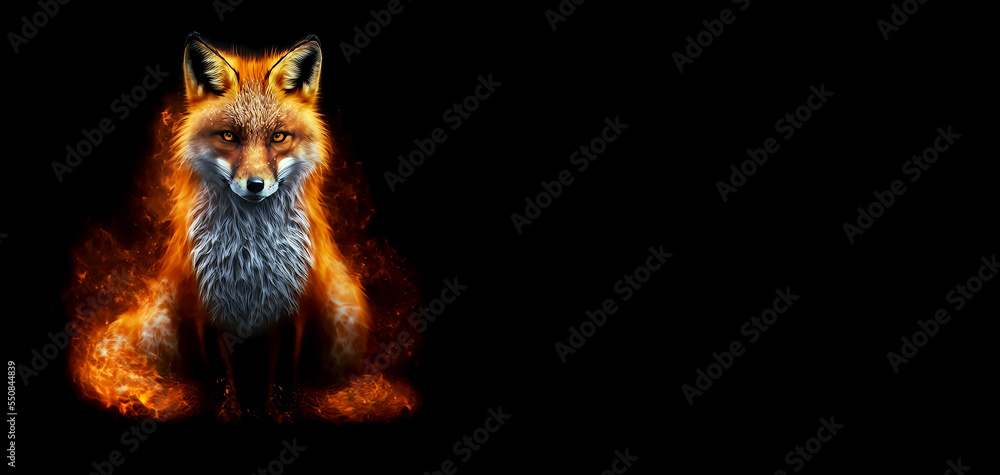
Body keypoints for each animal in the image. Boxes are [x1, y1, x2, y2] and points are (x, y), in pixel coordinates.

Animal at [68, 32, 418, 422]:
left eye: (278, 137)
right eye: (229, 136)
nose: (255, 185)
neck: (249, 259)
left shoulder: (295, 311)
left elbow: (281, 382)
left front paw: (280, 415)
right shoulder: (203, 310)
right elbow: (222, 382)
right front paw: (229, 415)